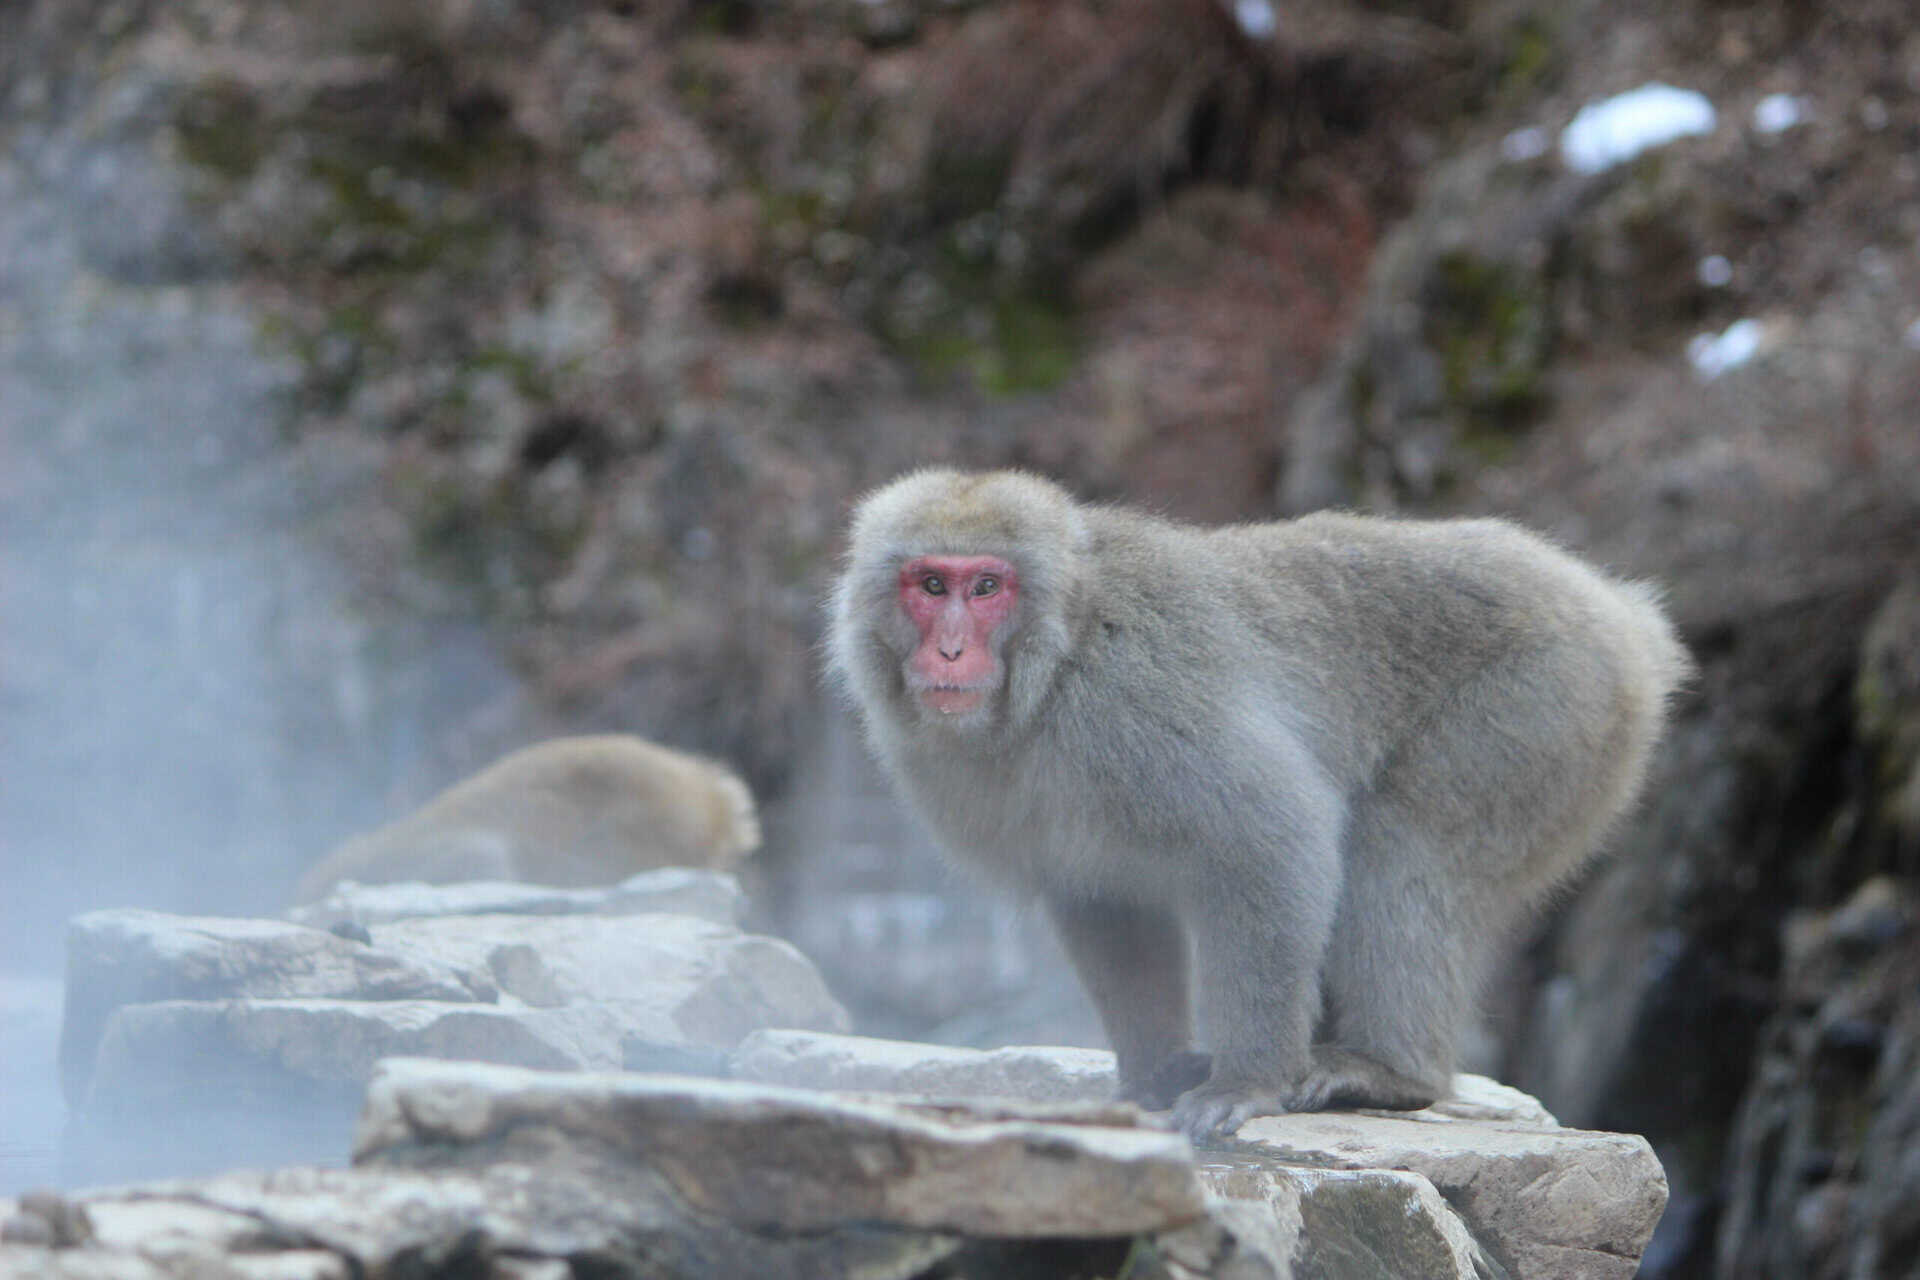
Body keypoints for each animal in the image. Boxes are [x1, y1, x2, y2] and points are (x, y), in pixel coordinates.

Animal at [829, 469, 1690, 1141]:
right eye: (930, 585)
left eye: (985, 587)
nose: (948, 651)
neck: (1054, 668)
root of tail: (1625, 616)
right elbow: (1104, 902)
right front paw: (1158, 1070)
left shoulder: (1138, 699)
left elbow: (1274, 841)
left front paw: (1246, 1082)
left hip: (1547, 704)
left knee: (1402, 843)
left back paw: (1389, 1070)